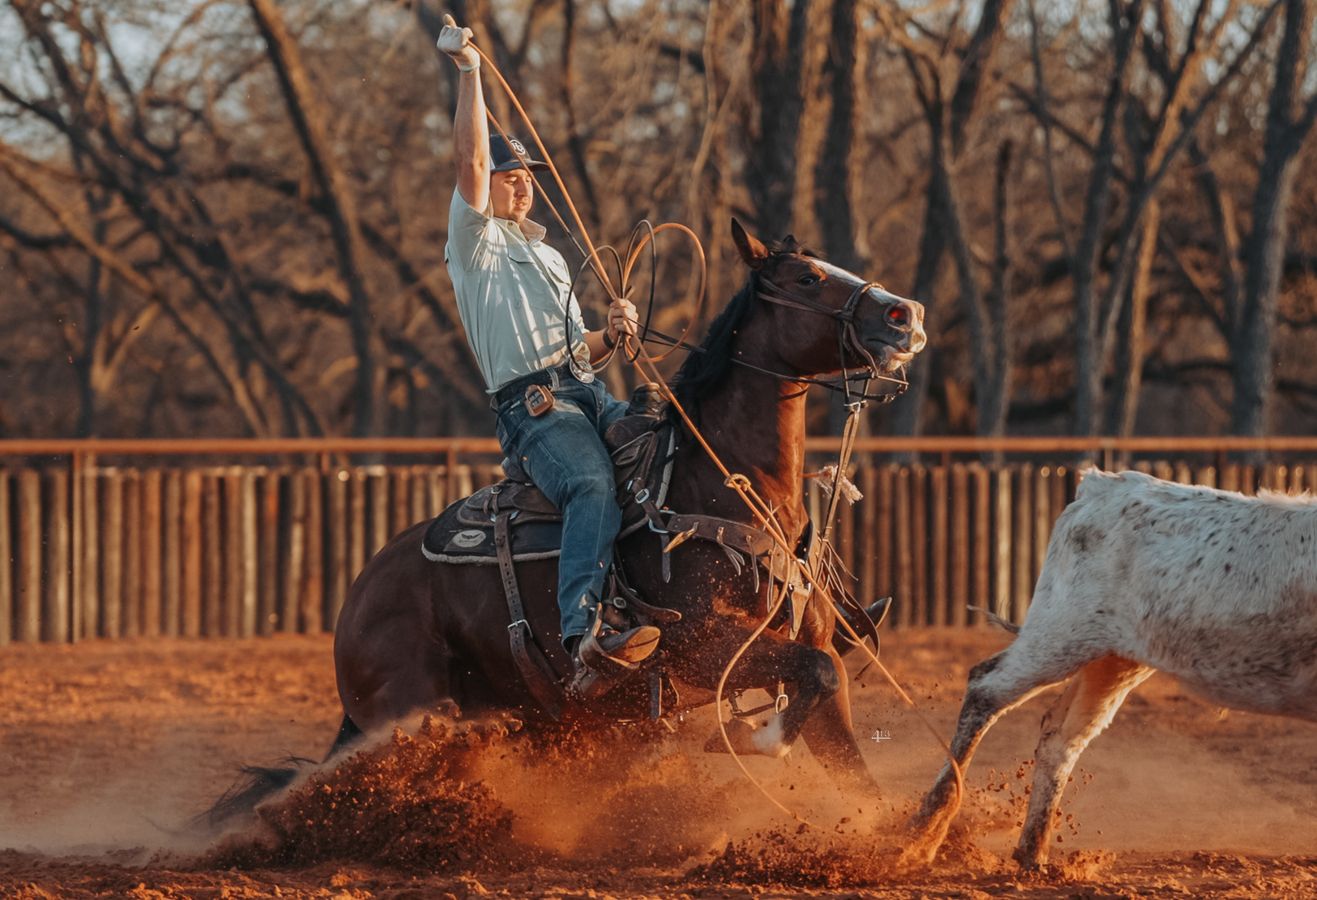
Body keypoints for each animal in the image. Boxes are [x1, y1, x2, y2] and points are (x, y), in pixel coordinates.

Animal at [206, 219, 925, 825]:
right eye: (806, 278)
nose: (906, 315)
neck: (721, 489)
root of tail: (355, 603)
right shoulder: (706, 645)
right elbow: (813, 675)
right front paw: (760, 737)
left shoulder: (807, 651)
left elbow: (838, 723)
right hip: (416, 712)